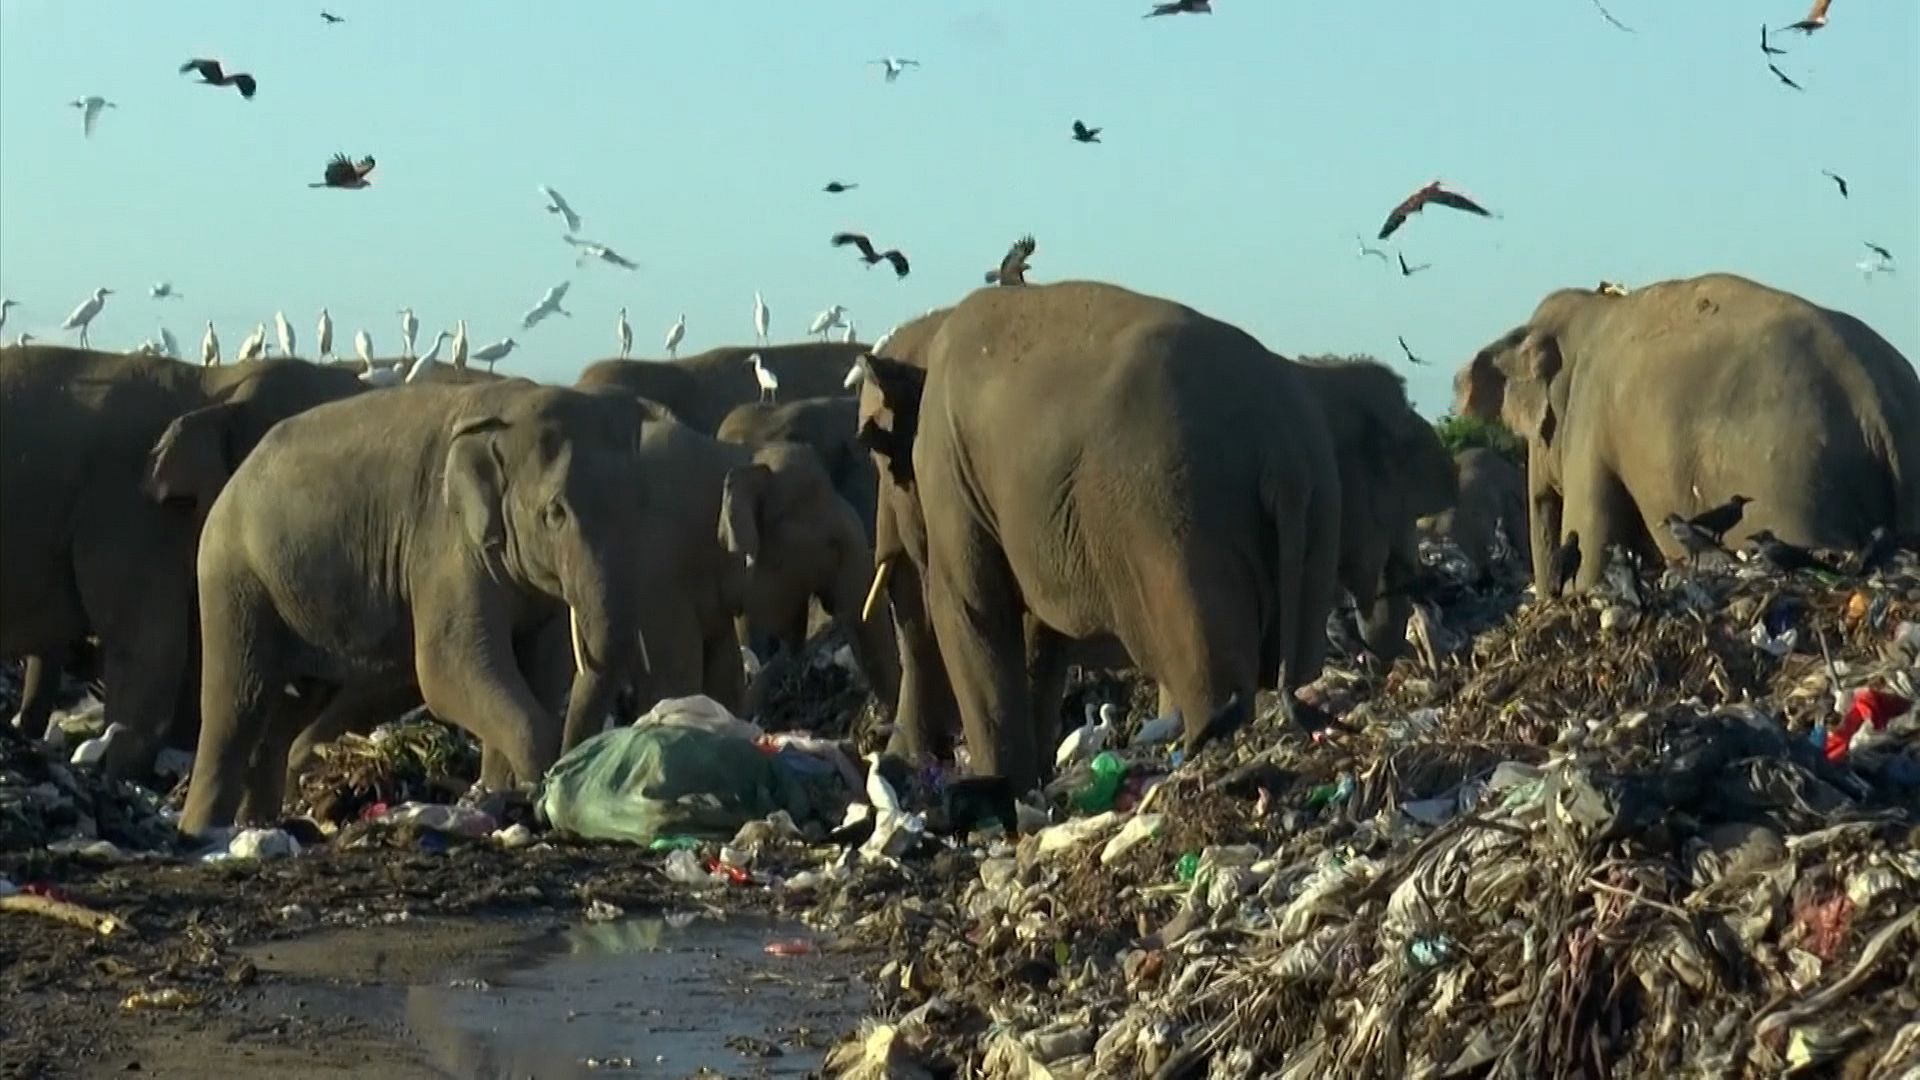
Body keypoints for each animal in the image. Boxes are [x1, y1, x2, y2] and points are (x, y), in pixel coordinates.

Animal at [180, 380, 652, 835]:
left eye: (640, 505)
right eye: (554, 513)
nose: (565, 780)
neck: (510, 411)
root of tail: (238, 473)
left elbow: (537, 671)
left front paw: (499, 795)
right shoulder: (444, 544)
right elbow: (448, 671)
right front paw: (528, 791)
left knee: (289, 710)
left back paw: (259, 823)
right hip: (233, 577)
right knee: (238, 704)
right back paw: (203, 831)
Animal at [857, 281, 1344, 795]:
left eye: (877, 451)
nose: (895, 760)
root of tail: (1283, 454)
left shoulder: (950, 469)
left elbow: (971, 608)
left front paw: (1002, 789)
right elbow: (1036, 634)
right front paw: (1032, 785)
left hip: (1179, 530)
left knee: (1211, 680)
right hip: (1317, 517)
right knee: (1298, 665)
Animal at [1454, 273, 1920, 596]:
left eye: (1539, 435)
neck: (1593, 308)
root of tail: (1876, 403)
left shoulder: (1590, 419)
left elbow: (1592, 539)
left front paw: (1581, 589)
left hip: (1793, 492)